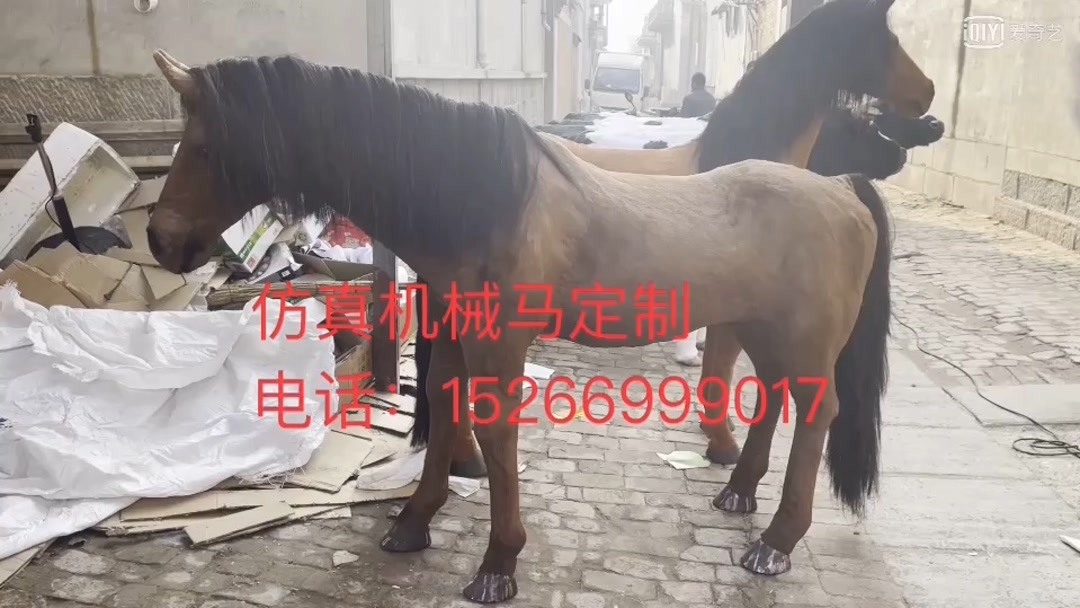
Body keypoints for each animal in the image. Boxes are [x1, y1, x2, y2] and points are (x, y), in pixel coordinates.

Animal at [149, 49, 895, 603]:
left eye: (207, 146)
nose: (160, 239)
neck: (485, 202)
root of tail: (840, 188)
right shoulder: (453, 335)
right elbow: (445, 410)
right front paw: (413, 524)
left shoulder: (497, 343)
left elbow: (494, 433)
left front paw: (497, 565)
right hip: (766, 330)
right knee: (774, 396)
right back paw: (738, 493)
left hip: (806, 340)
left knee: (816, 412)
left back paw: (774, 543)